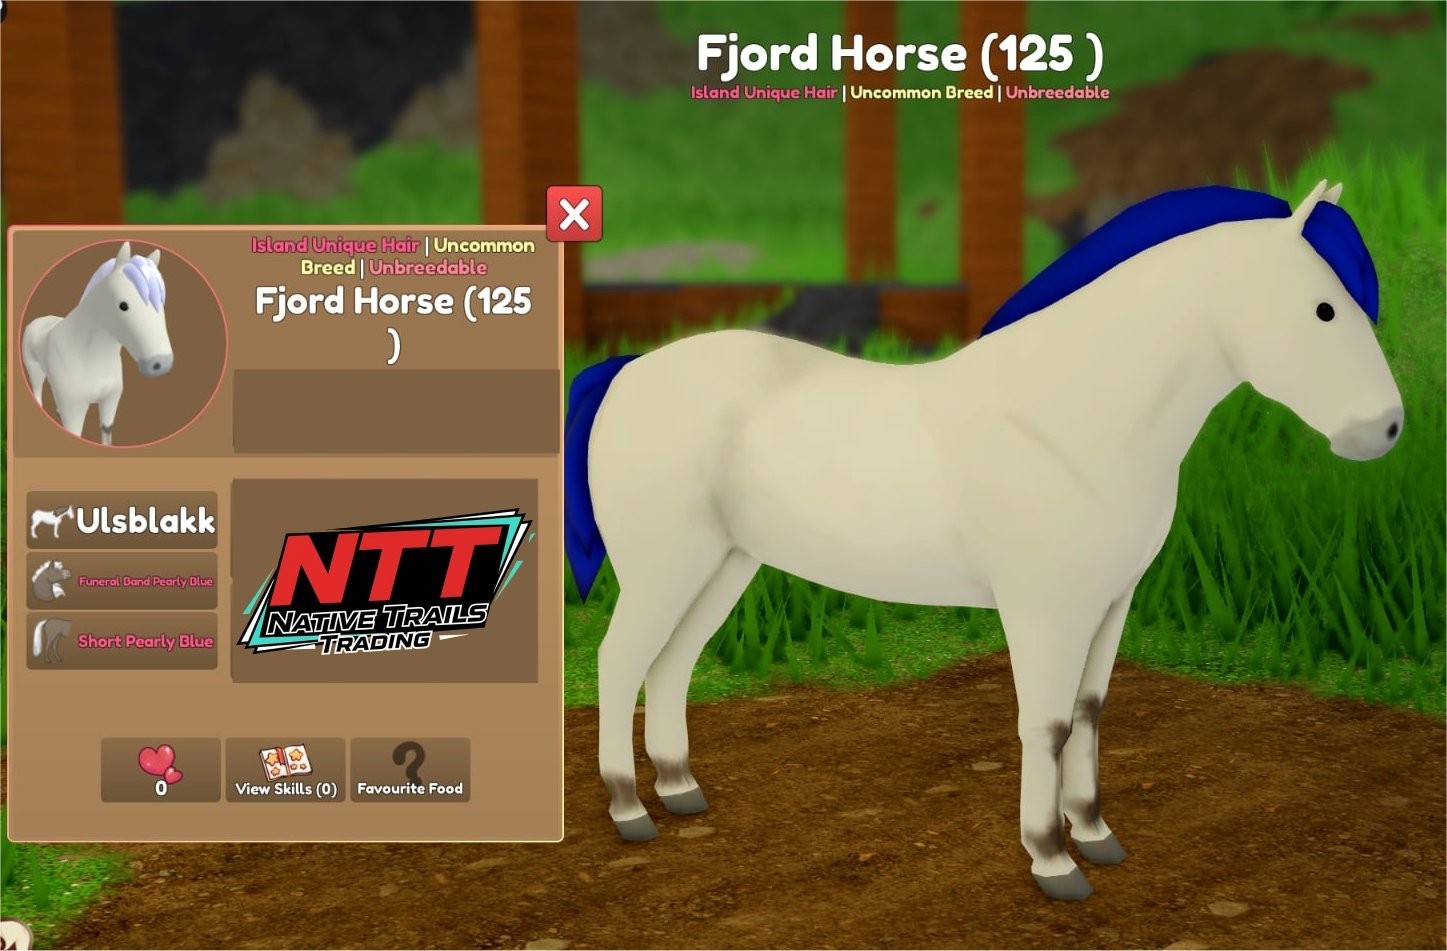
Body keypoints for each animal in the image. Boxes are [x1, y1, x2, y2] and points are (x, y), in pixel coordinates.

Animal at [21, 241, 174, 445]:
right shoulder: (74, 408)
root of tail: (37, 321)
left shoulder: (110, 400)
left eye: (161, 304)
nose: (161, 363)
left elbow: (106, 430)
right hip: (34, 370)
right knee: (37, 392)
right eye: (123, 305)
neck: (90, 357)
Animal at [563, 181, 1401, 901]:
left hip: (723, 565)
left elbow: (1089, 710)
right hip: (667, 568)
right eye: (1323, 309)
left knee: (670, 665)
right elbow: (1048, 723)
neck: (1073, 415)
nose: (1384, 429)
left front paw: (1094, 832)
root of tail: (627, 369)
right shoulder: (1043, 609)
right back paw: (629, 811)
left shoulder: (1109, 602)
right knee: (619, 661)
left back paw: (680, 789)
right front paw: (1052, 860)